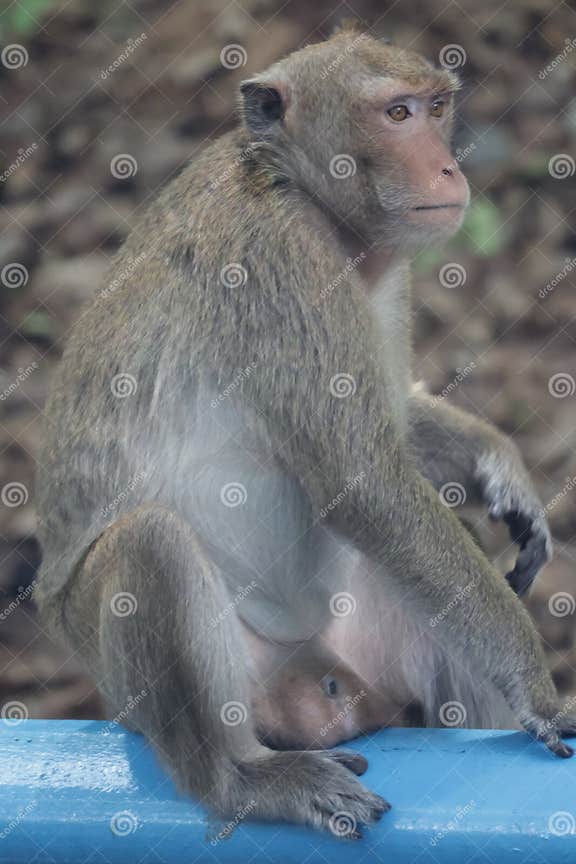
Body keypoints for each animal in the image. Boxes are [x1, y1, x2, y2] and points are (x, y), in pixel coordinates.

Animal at [35, 25, 576, 837]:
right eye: (396, 113)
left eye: (437, 107)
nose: (448, 165)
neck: (299, 187)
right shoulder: (280, 261)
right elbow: (364, 481)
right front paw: (536, 685)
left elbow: (387, 423)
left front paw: (498, 467)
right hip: (132, 671)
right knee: (151, 542)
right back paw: (243, 782)